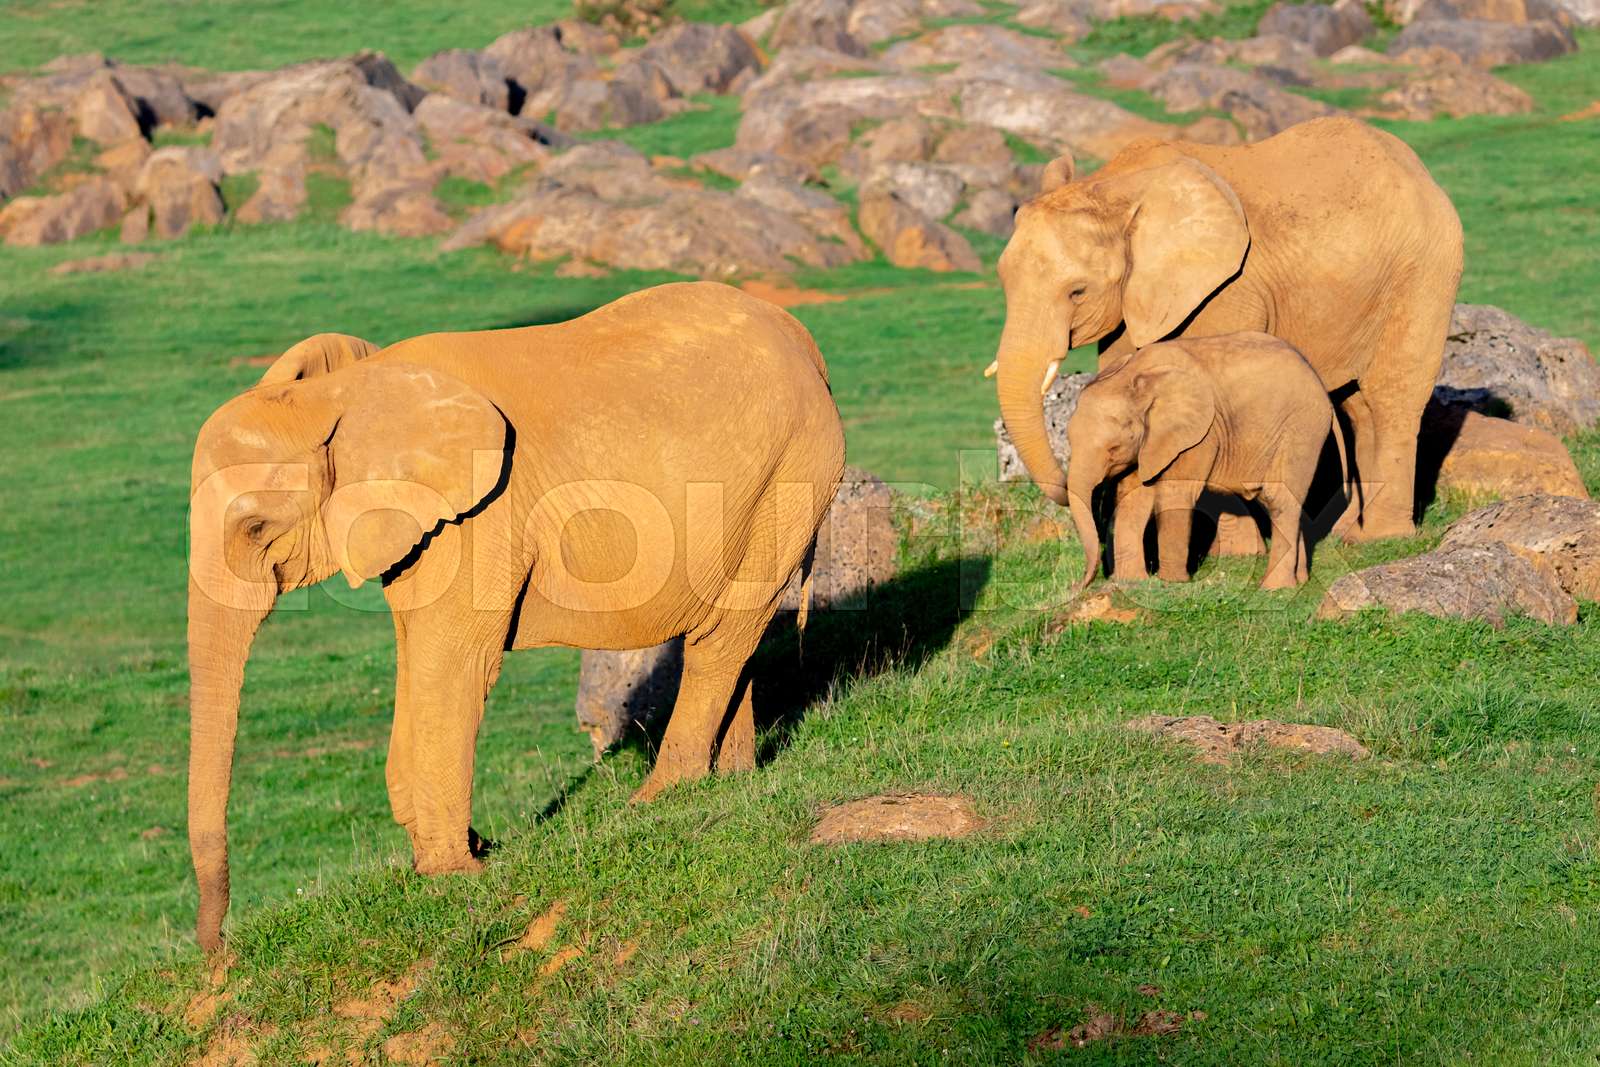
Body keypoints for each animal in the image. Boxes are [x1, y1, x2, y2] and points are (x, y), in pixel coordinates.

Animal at [186, 282, 845, 952]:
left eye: (255, 527)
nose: (218, 951)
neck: (346, 392)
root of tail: (804, 342)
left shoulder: (481, 514)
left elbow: (453, 663)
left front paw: (453, 874)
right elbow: (414, 654)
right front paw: (456, 854)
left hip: (793, 474)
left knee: (723, 637)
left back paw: (658, 799)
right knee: (732, 632)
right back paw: (730, 780)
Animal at [987, 116, 1461, 550]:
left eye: (1077, 292)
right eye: (1002, 280)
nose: (1066, 488)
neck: (1116, 185)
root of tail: (1418, 169)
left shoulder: (1228, 287)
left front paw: (1237, 559)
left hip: (1425, 272)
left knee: (1392, 396)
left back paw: (1383, 539)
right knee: (1357, 407)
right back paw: (1350, 535)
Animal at [1065, 333, 1347, 591]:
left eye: (1113, 449)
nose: (1078, 586)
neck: (1136, 377)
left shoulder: (1200, 435)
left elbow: (1175, 493)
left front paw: (1171, 584)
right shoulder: (1150, 444)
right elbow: (1134, 497)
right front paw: (1132, 582)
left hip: (1302, 429)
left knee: (1280, 499)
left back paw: (1274, 588)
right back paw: (1300, 582)